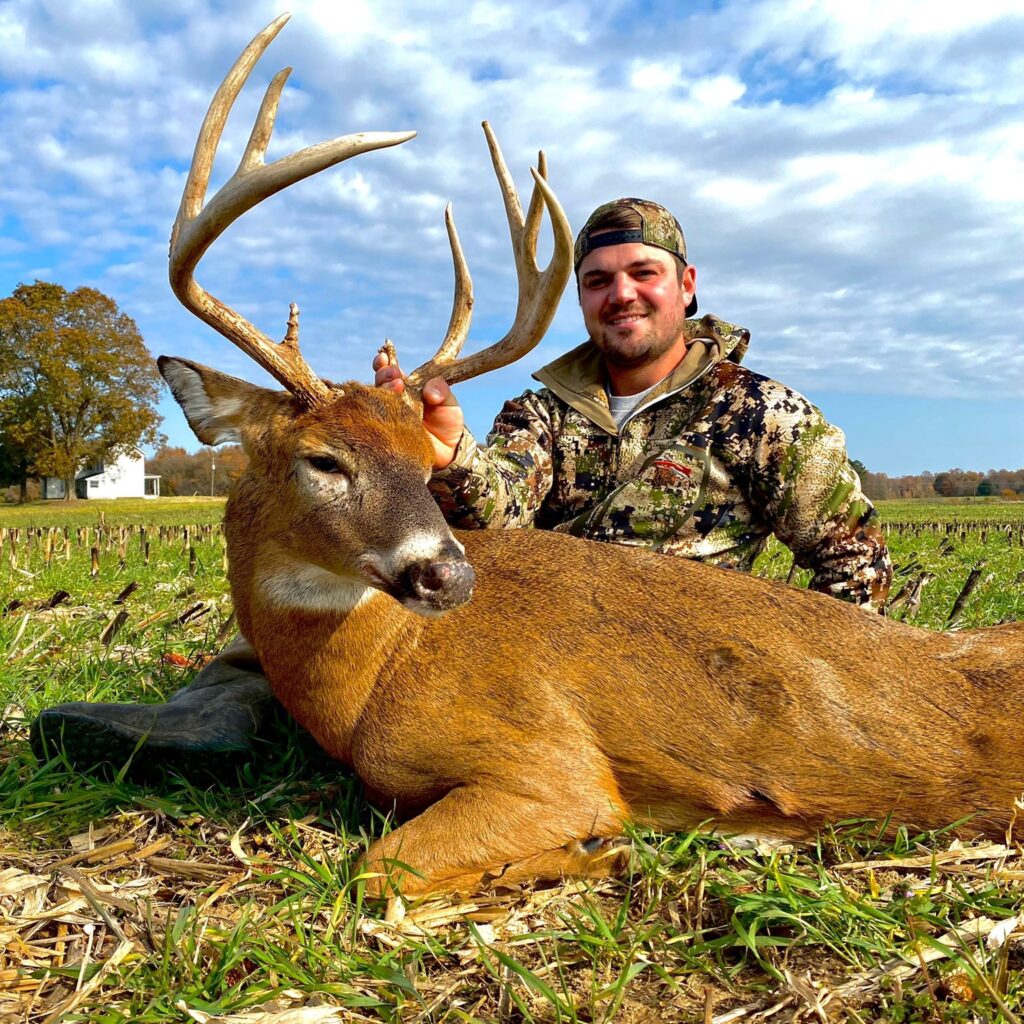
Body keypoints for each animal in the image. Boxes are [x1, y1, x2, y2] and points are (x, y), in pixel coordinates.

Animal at [160, 15, 1024, 897]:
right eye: (324, 459)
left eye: (419, 458)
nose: (449, 575)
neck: (373, 678)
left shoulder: (551, 763)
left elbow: (379, 869)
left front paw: (603, 849)